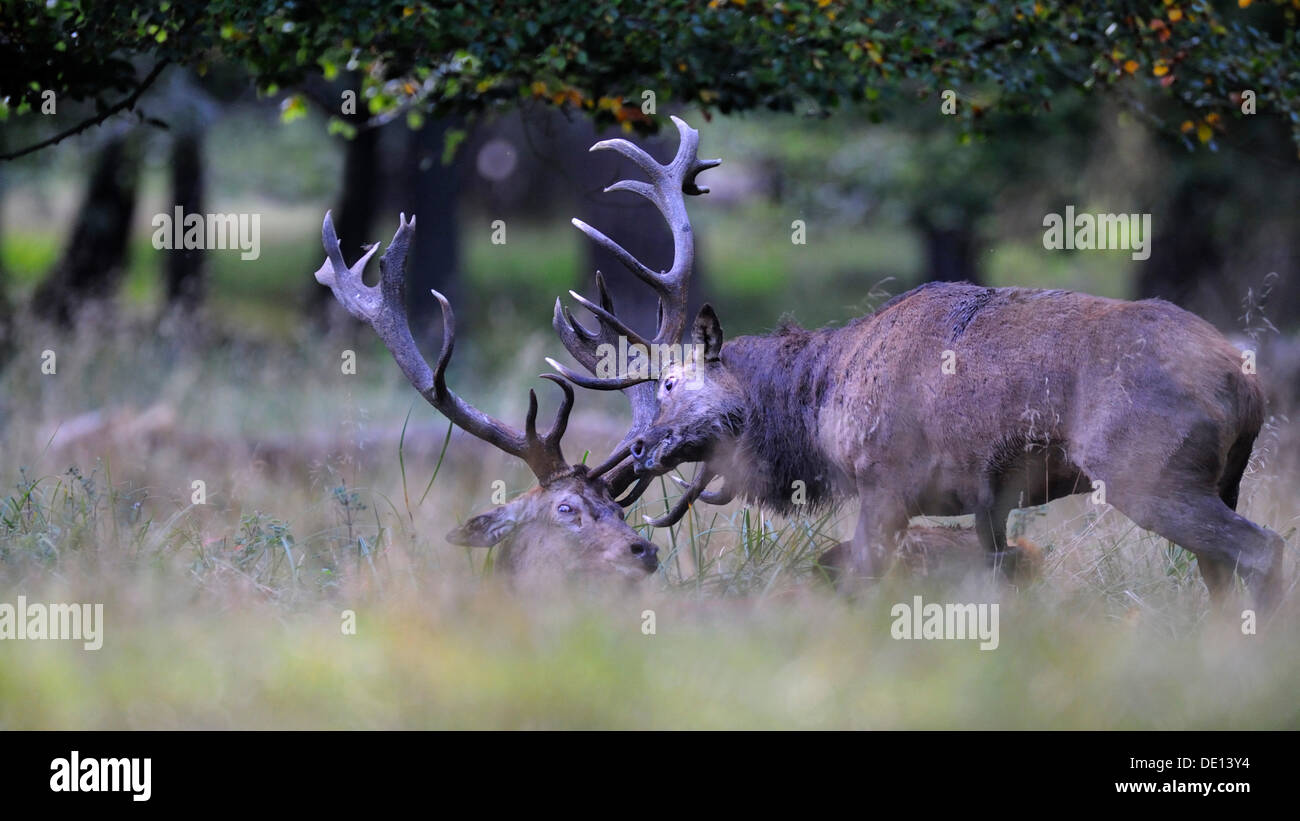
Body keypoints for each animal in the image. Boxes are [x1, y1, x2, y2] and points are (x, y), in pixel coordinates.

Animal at [548, 117, 1286, 609]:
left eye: (673, 381)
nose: (636, 449)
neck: (818, 402)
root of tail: (1245, 383)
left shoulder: (885, 482)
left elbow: (858, 575)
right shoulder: (991, 503)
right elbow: (998, 576)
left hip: (1151, 471)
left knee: (1262, 548)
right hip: (1222, 476)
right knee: (1219, 571)